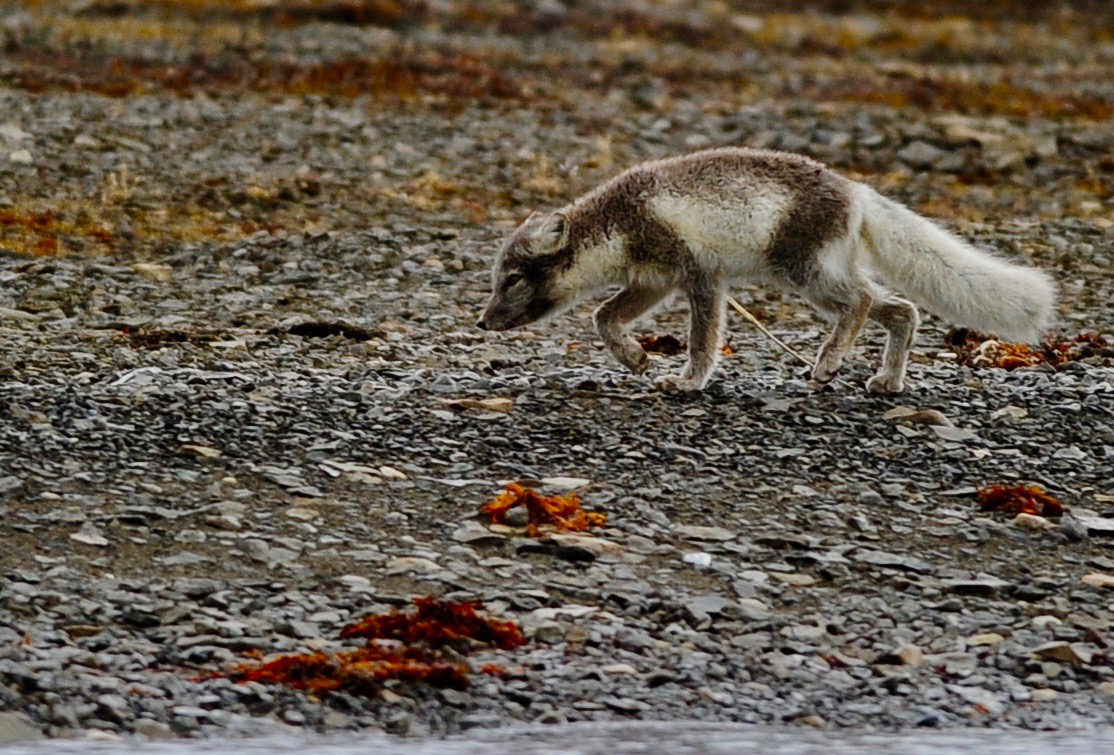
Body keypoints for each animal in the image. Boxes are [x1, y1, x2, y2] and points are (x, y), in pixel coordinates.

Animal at [477, 147, 1057, 393]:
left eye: (512, 279)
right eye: (496, 279)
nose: (482, 322)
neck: (619, 220)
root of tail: (857, 192)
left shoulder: (700, 276)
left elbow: (703, 340)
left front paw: (687, 382)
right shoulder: (653, 281)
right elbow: (602, 318)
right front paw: (636, 358)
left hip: (809, 275)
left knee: (866, 302)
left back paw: (827, 364)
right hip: (819, 274)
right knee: (903, 310)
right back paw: (887, 381)